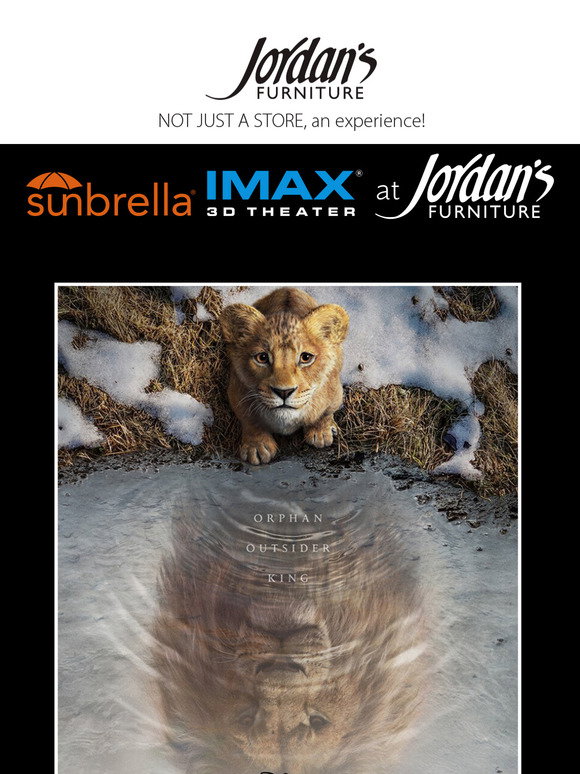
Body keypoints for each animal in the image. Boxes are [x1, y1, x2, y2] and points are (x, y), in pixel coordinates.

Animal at [220, 288, 349, 465]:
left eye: (306, 357)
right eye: (262, 358)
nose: (284, 392)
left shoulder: (335, 392)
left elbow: (325, 413)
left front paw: (321, 432)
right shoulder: (237, 392)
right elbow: (250, 420)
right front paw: (257, 447)